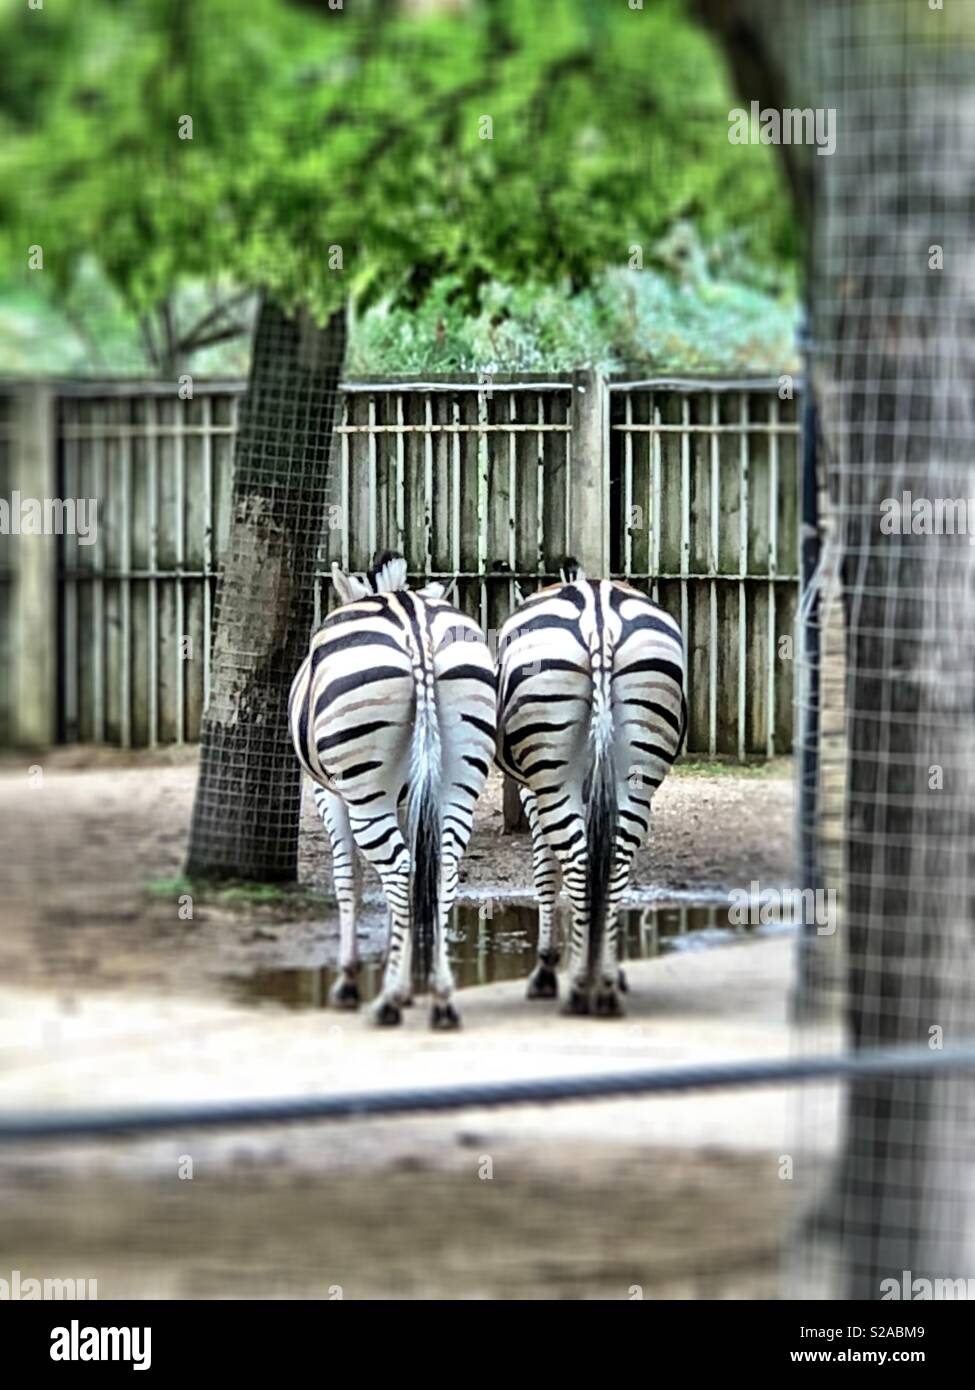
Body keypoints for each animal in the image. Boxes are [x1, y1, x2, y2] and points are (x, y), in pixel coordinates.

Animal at [289, 550, 496, 1029]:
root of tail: (414, 622)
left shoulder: (331, 796)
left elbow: (348, 875)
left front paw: (351, 980)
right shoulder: (407, 798)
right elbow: (414, 874)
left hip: (364, 790)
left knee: (398, 869)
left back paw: (390, 999)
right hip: (459, 781)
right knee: (442, 867)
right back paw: (440, 996)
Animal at [496, 558, 686, 1017]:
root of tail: (598, 613)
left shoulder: (531, 792)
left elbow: (545, 870)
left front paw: (546, 970)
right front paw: (611, 968)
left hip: (550, 770)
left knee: (581, 864)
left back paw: (583, 984)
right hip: (639, 767)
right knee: (614, 861)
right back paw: (605, 983)